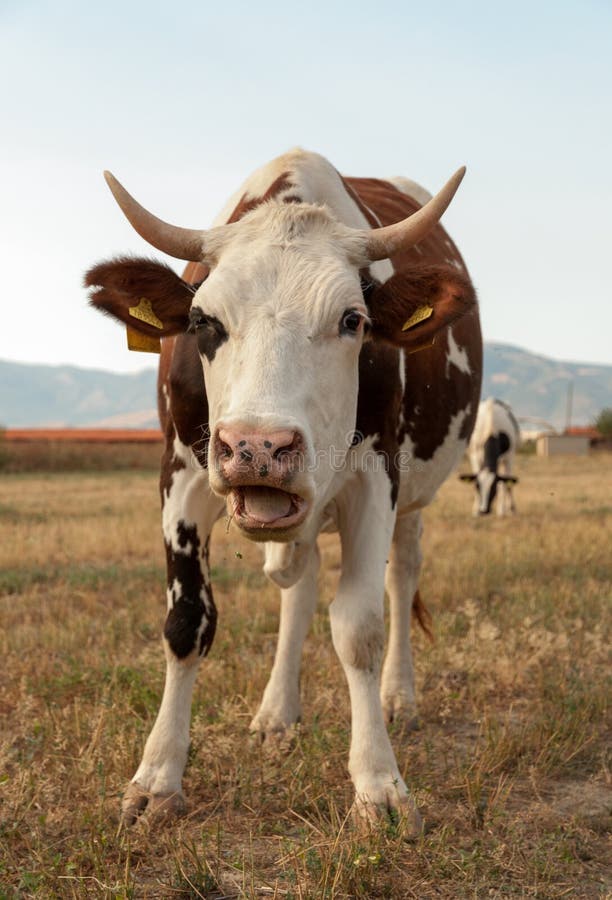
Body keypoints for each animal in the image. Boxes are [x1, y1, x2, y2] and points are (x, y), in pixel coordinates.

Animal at [85, 148, 482, 832]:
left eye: (352, 320)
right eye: (202, 320)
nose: (258, 447)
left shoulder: (376, 478)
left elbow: (360, 629)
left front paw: (379, 783)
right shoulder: (180, 476)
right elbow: (186, 622)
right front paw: (157, 777)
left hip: (414, 495)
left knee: (402, 574)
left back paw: (398, 696)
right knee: (299, 585)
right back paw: (277, 713)